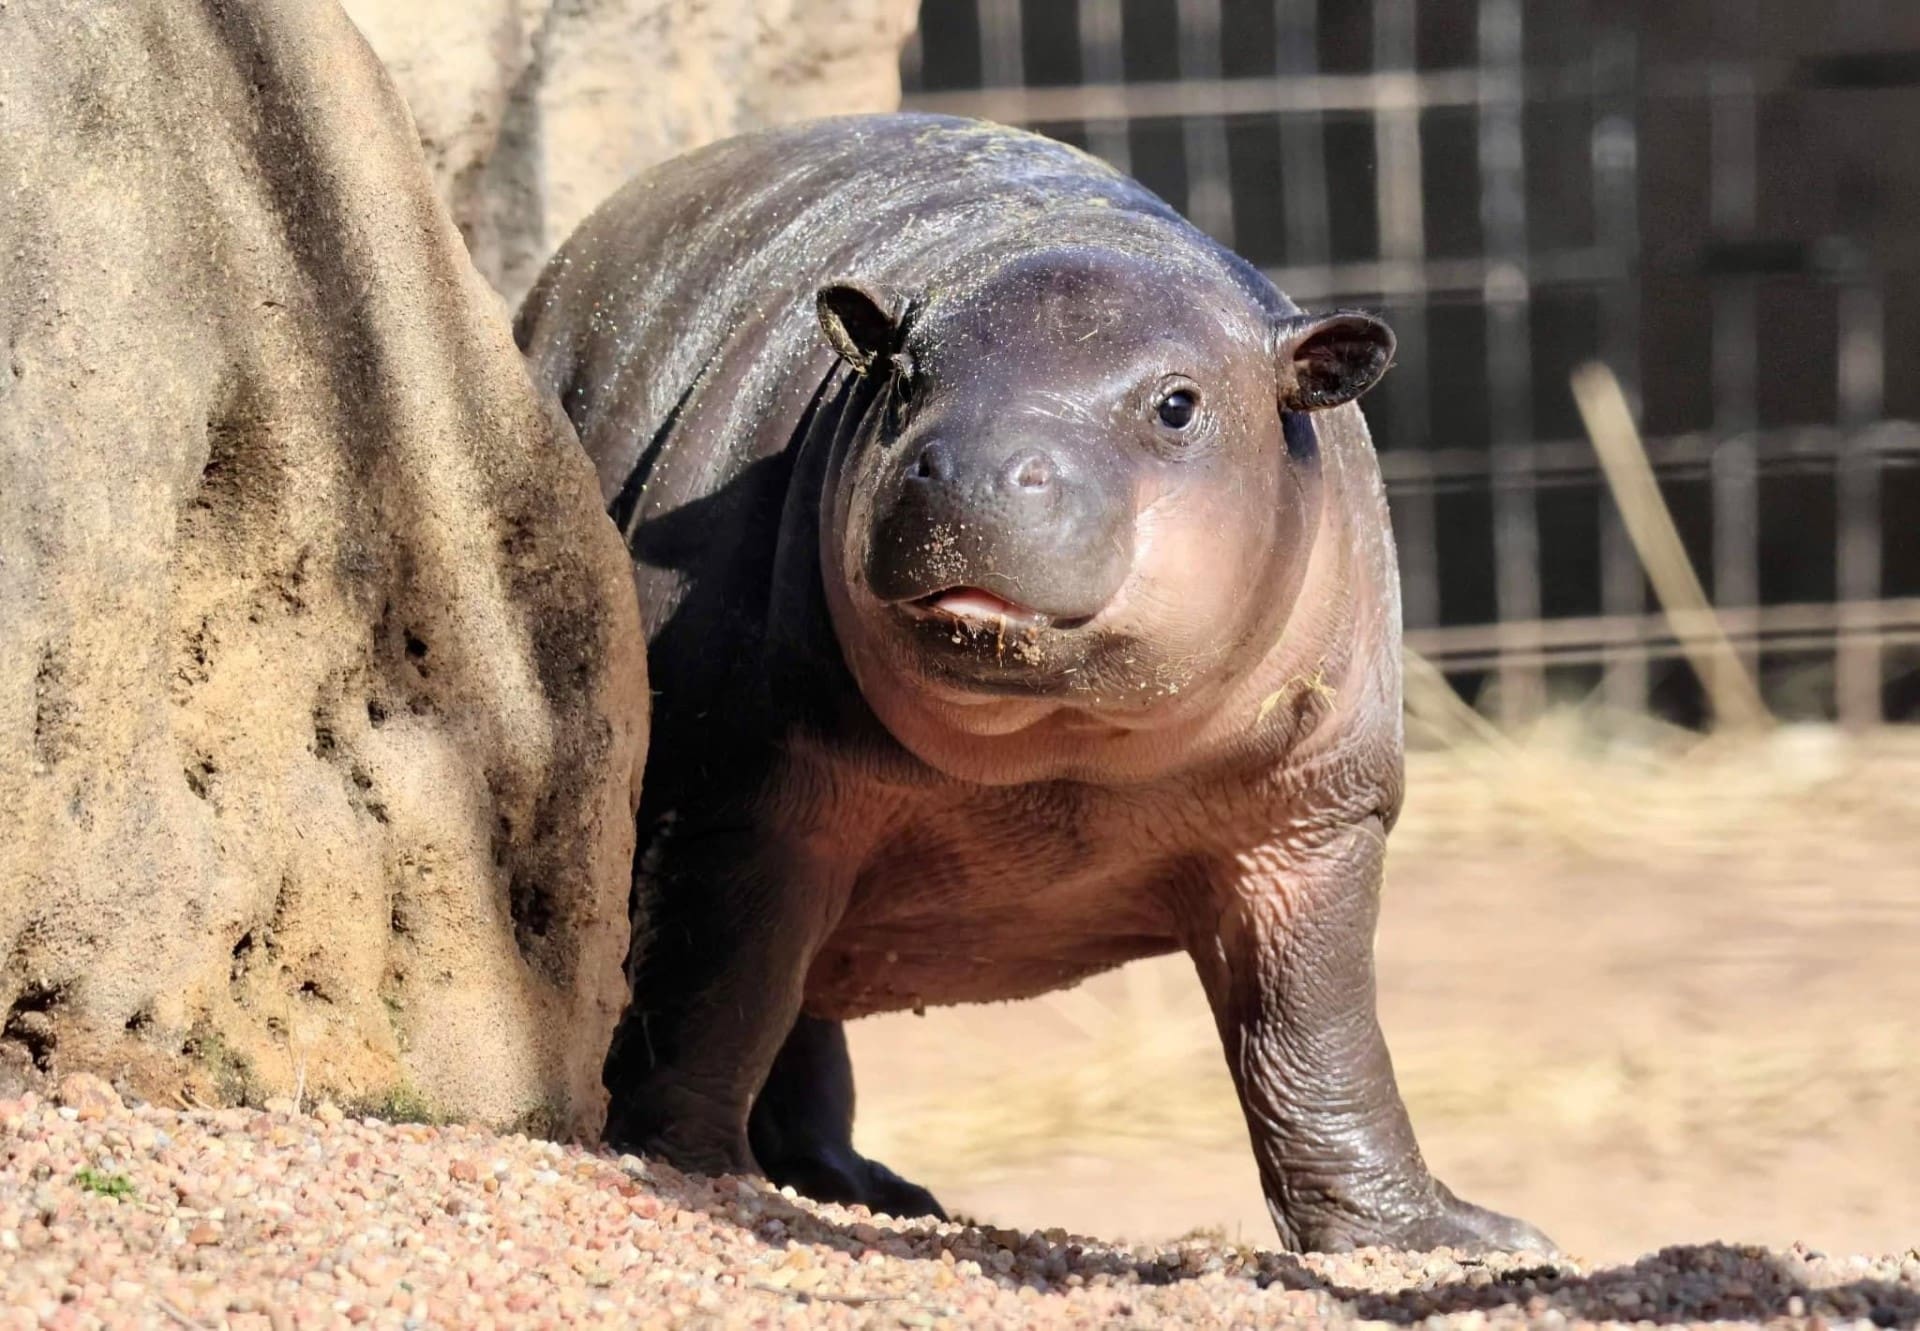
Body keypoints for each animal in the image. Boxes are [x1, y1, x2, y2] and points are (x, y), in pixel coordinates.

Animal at [514, 112, 1549, 1255]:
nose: (966, 465)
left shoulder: (1316, 813)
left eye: (1179, 404)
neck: (1062, 749)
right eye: (901, 379)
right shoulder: (743, 790)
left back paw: (873, 1190)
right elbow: (711, 989)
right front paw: (692, 1174)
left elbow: (1320, 1040)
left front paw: (1457, 1238)